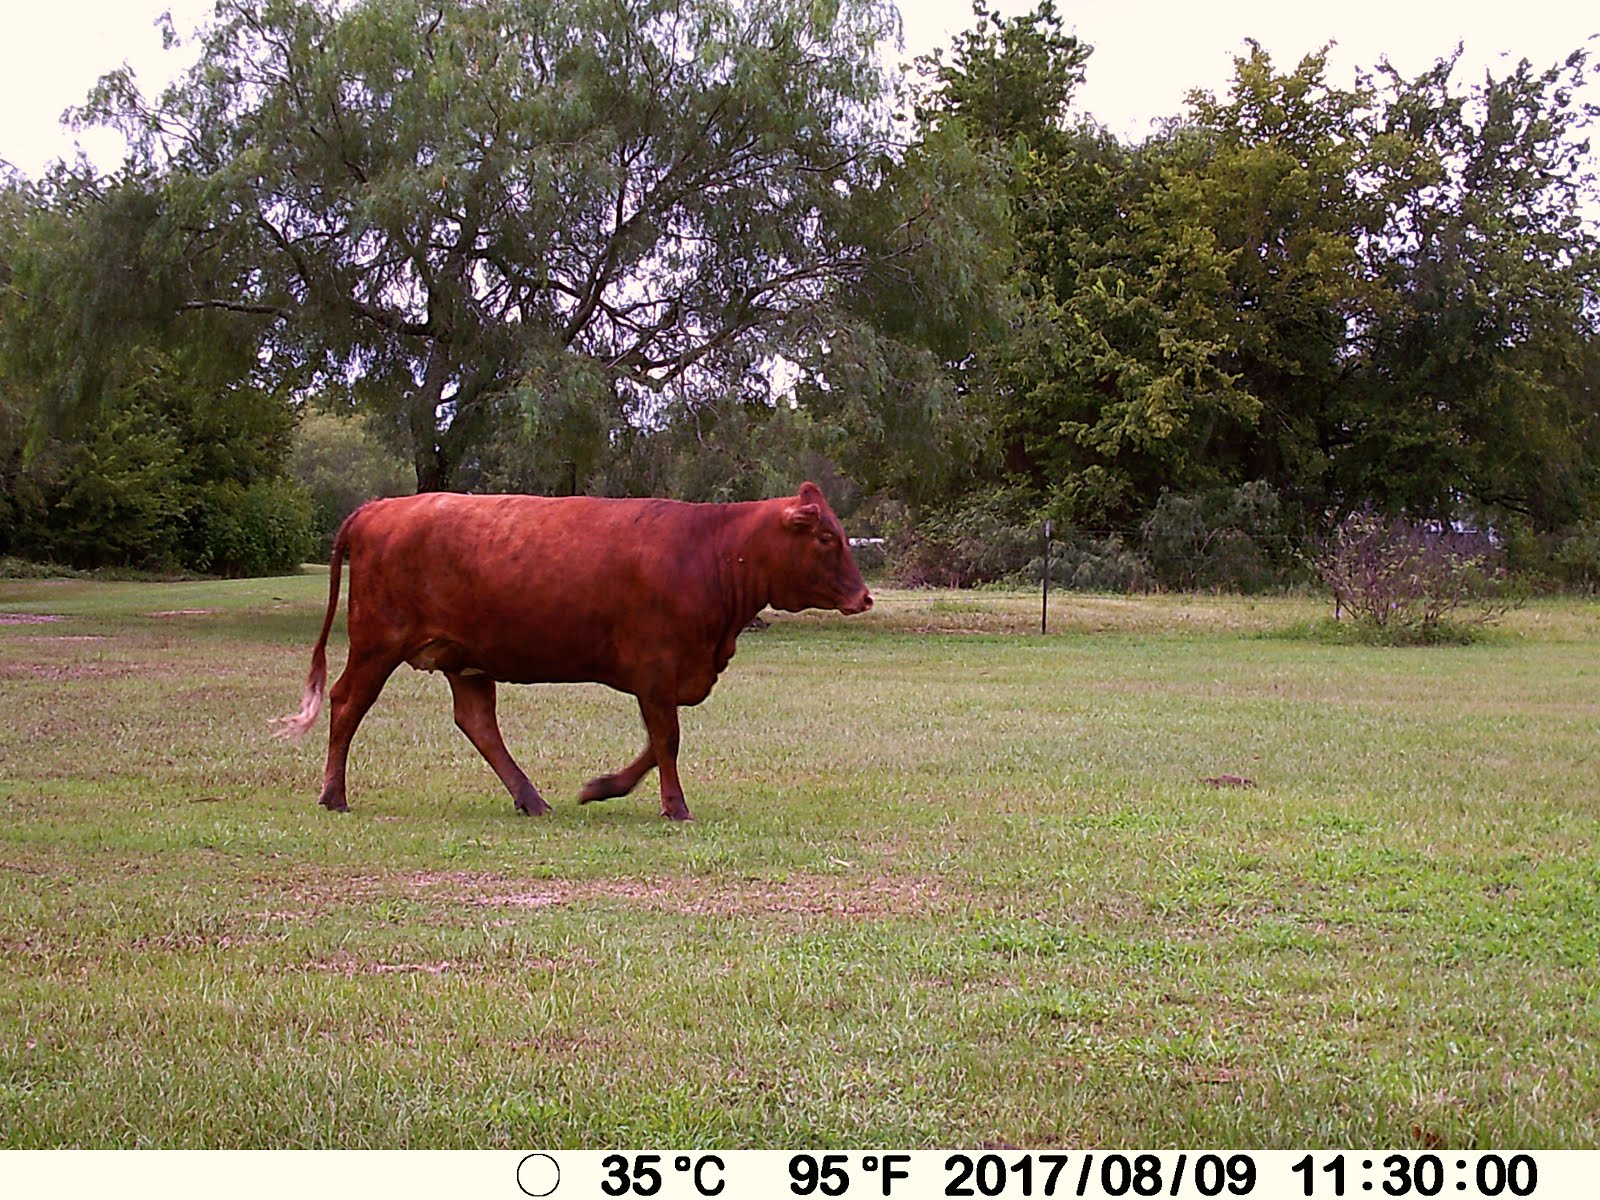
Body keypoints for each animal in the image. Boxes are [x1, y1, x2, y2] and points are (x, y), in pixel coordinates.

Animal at [273, 482, 872, 821]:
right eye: (826, 539)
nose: (864, 597)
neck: (712, 552)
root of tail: (379, 508)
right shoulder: (656, 668)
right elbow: (668, 741)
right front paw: (675, 807)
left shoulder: (665, 678)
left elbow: (657, 742)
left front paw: (600, 788)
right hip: (377, 643)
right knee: (348, 703)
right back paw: (334, 795)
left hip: (466, 657)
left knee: (477, 722)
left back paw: (531, 799)